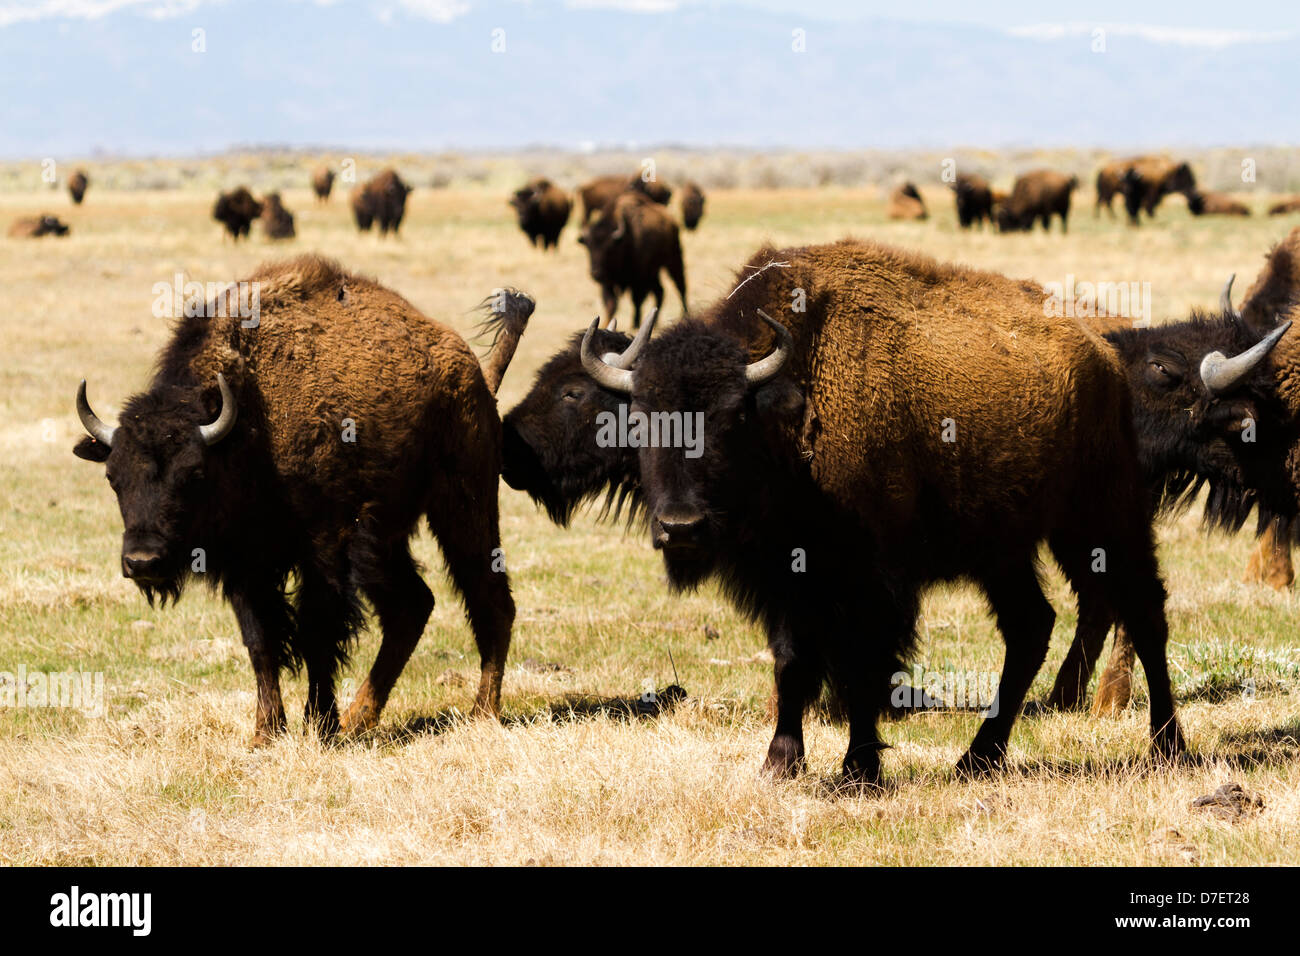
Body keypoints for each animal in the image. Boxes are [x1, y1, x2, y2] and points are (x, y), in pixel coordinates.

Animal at [74, 256, 531, 744]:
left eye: (194, 475)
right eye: (113, 477)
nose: (143, 562)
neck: (249, 424)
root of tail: (477, 376)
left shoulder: (325, 547)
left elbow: (317, 632)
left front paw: (320, 724)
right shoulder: (247, 565)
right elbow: (261, 641)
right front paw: (266, 732)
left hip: (464, 507)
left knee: (490, 601)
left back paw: (481, 714)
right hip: (385, 540)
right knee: (412, 607)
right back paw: (359, 719)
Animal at [504, 239, 1183, 784]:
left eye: (731, 420)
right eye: (642, 419)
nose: (681, 528)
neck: (792, 414)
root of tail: (1102, 356)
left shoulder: (872, 582)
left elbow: (861, 663)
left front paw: (859, 767)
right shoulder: (786, 577)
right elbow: (792, 660)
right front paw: (781, 762)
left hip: (1101, 520)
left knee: (1144, 613)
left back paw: (1168, 747)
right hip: (1004, 549)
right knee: (1030, 627)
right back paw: (978, 759)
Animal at [579, 190, 686, 329]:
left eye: (609, 248)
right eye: (589, 247)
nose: (595, 273)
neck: (625, 240)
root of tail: (672, 222)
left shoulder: (638, 279)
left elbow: (637, 301)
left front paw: (635, 324)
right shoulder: (608, 282)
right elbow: (611, 303)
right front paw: (606, 323)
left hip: (673, 259)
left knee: (680, 286)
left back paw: (685, 314)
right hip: (654, 272)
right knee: (660, 291)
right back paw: (656, 321)